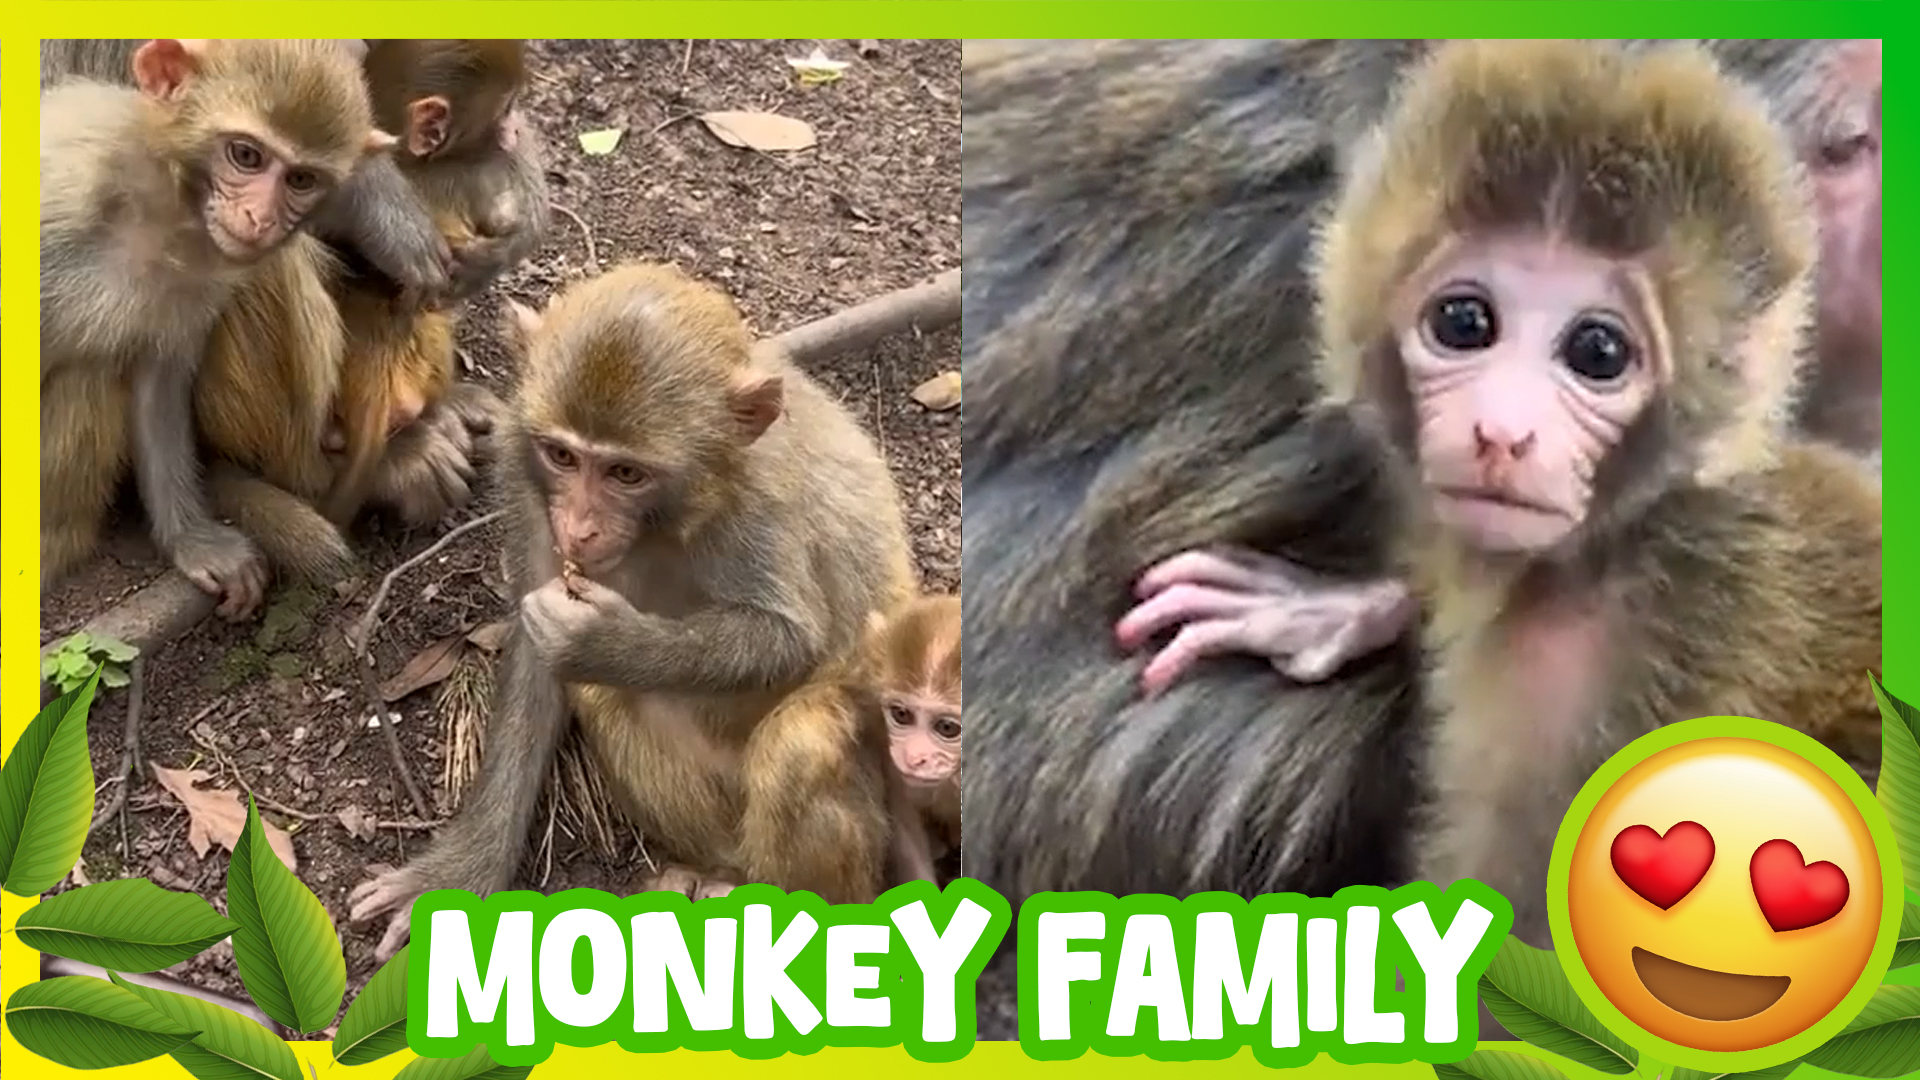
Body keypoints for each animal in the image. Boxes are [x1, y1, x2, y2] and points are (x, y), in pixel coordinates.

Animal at [40, 38, 392, 617]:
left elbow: (159, 381)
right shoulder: (60, 208)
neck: (164, 203)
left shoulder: (202, 281)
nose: (259, 219)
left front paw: (192, 541)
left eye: (301, 180)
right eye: (245, 155)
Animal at [345, 262, 919, 960]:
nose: (580, 527)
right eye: (563, 456)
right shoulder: (527, 485)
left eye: (625, 473)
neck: (665, 522)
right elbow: (538, 662)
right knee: (602, 697)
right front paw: (457, 873)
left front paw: (599, 639)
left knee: (799, 745)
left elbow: (789, 639)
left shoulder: (758, 504)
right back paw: (712, 873)